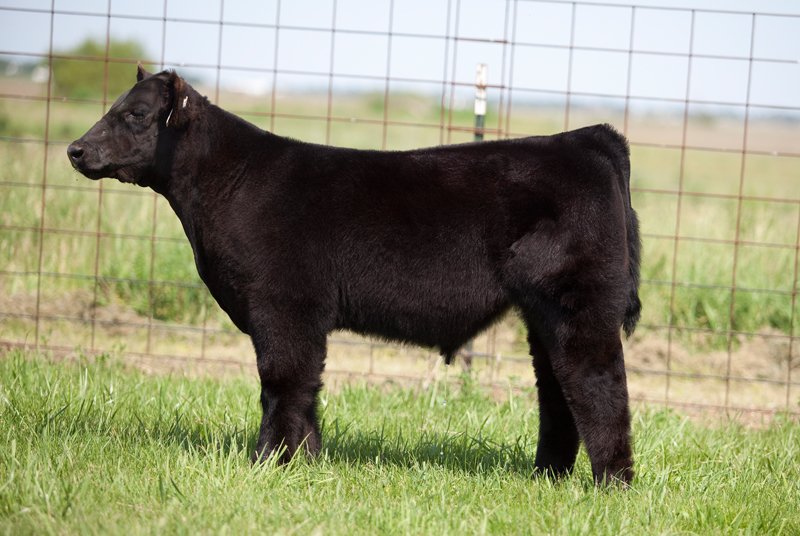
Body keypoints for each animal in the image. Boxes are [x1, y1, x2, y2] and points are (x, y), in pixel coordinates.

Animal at [68, 64, 642, 486]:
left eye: (137, 113)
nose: (75, 150)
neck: (226, 186)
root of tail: (585, 139)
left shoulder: (283, 305)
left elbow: (281, 382)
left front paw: (264, 464)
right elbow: (305, 390)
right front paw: (307, 464)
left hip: (579, 302)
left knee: (598, 382)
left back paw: (611, 483)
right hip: (543, 313)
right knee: (557, 389)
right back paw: (548, 477)